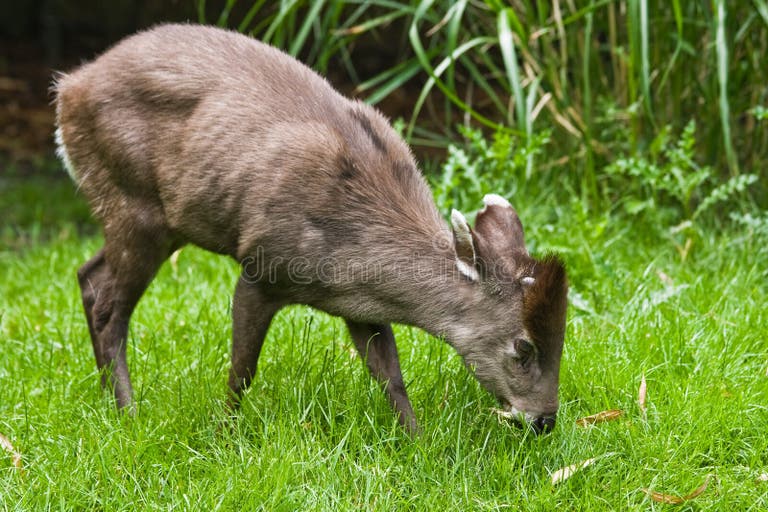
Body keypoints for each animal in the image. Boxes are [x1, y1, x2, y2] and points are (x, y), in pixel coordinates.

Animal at [54, 24, 568, 435]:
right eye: (523, 347)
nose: (543, 420)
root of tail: (68, 87)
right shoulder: (261, 266)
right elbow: (243, 369)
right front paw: (223, 435)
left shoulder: (361, 306)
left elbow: (390, 375)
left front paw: (417, 442)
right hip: (133, 202)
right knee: (110, 307)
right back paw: (128, 414)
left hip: (153, 218)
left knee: (88, 274)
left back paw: (108, 398)